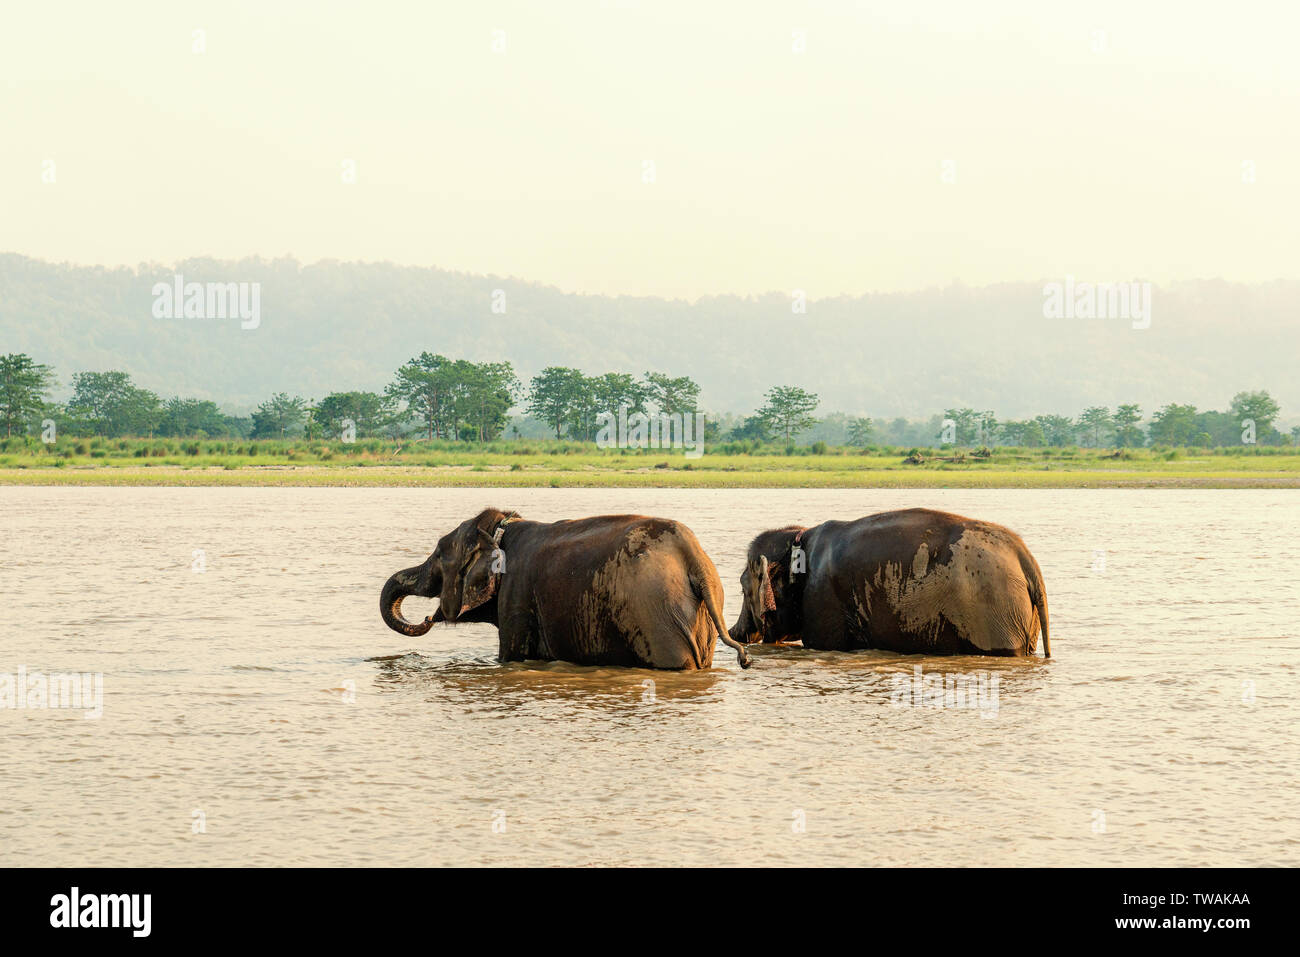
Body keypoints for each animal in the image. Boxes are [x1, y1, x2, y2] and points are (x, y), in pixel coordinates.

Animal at [380, 508, 751, 670]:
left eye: (439, 555)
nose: (427, 619)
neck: (500, 527)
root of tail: (692, 555)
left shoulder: (516, 596)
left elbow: (512, 655)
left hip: (657, 617)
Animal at [728, 508, 1050, 657]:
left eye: (743, 588)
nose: (735, 632)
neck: (799, 537)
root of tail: (1025, 558)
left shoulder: (822, 601)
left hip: (994, 615)